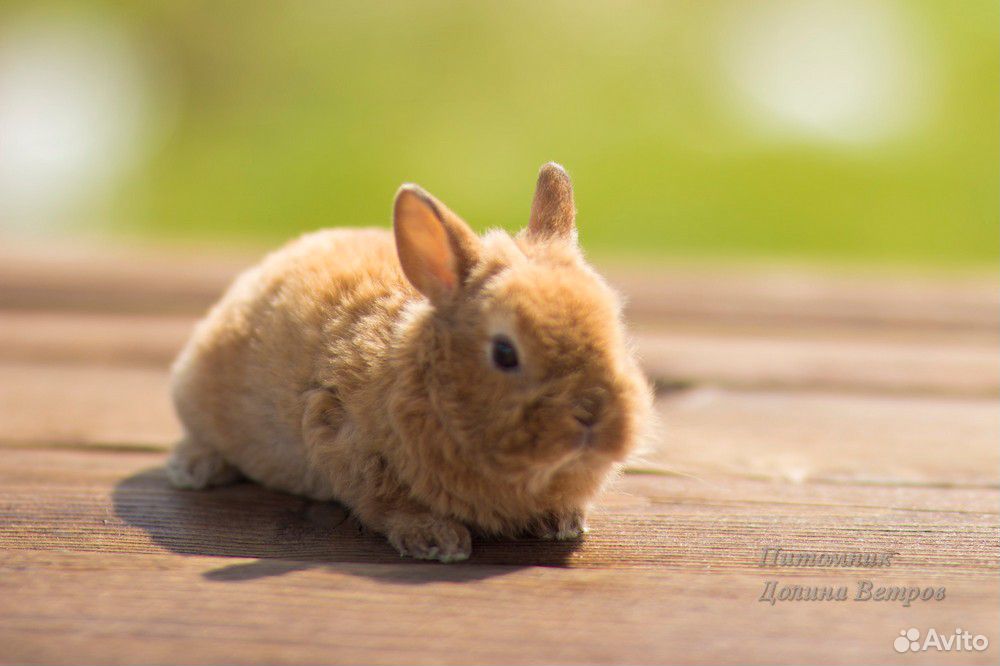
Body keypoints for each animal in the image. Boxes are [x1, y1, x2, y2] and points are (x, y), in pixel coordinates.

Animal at [167, 162, 652, 562]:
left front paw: (562, 522)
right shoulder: (341, 437)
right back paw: (195, 469)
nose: (593, 414)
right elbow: (386, 504)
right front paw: (437, 540)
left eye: (614, 323)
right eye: (504, 353)